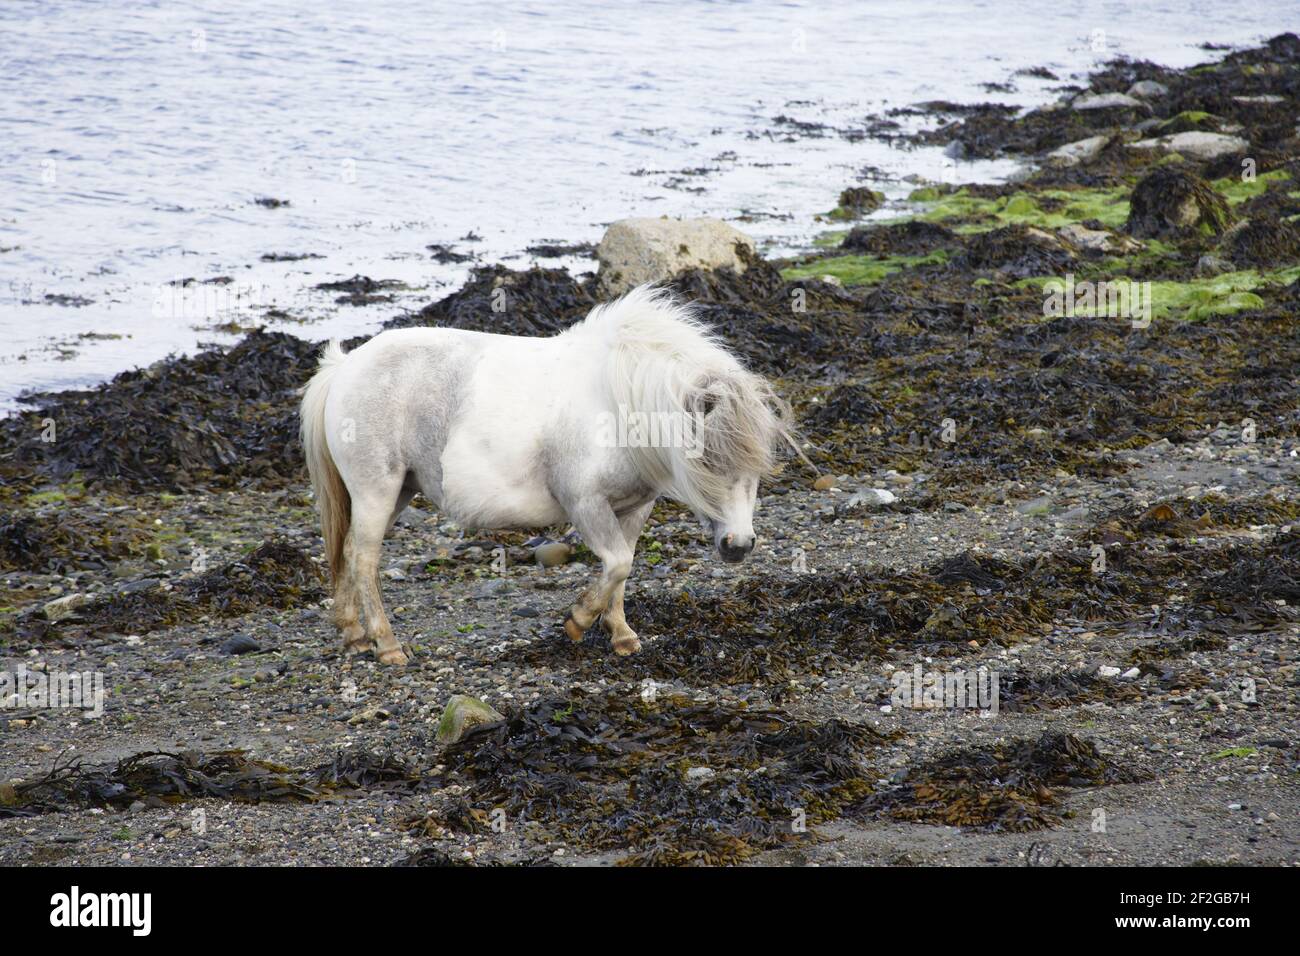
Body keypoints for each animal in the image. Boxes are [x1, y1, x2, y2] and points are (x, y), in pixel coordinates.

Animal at [299, 285, 795, 664]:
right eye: (708, 463)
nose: (739, 546)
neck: (617, 402)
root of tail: (343, 369)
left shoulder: (634, 509)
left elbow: (624, 569)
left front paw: (622, 636)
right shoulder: (585, 504)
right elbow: (618, 563)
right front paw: (577, 622)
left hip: (398, 491)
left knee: (348, 552)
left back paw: (354, 635)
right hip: (377, 489)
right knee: (364, 558)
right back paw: (386, 646)